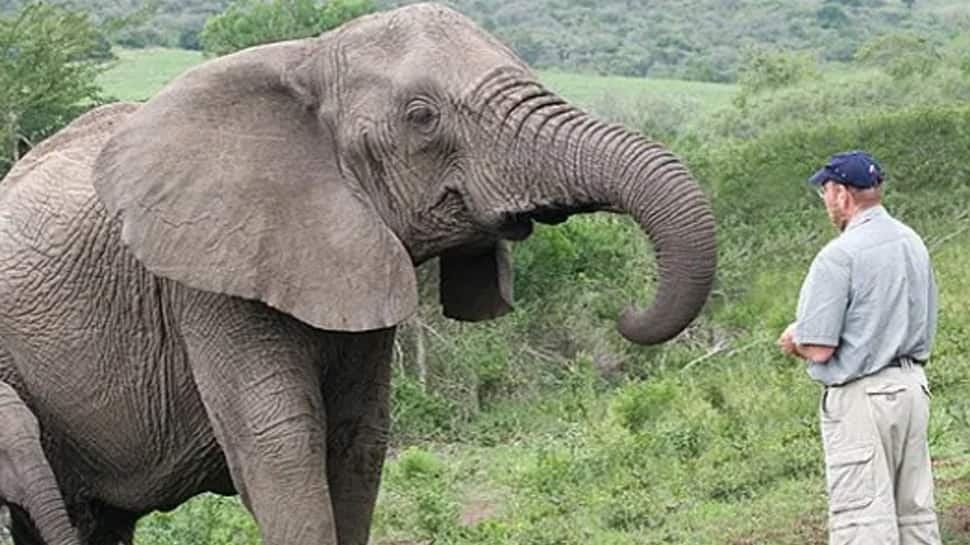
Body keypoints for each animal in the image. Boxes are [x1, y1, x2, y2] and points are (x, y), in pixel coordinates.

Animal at [0, 3, 716, 545]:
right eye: (422, 117)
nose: (626, 314)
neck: (307, 59)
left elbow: (357, 440)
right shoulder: (203, 279)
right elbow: (281, 444)